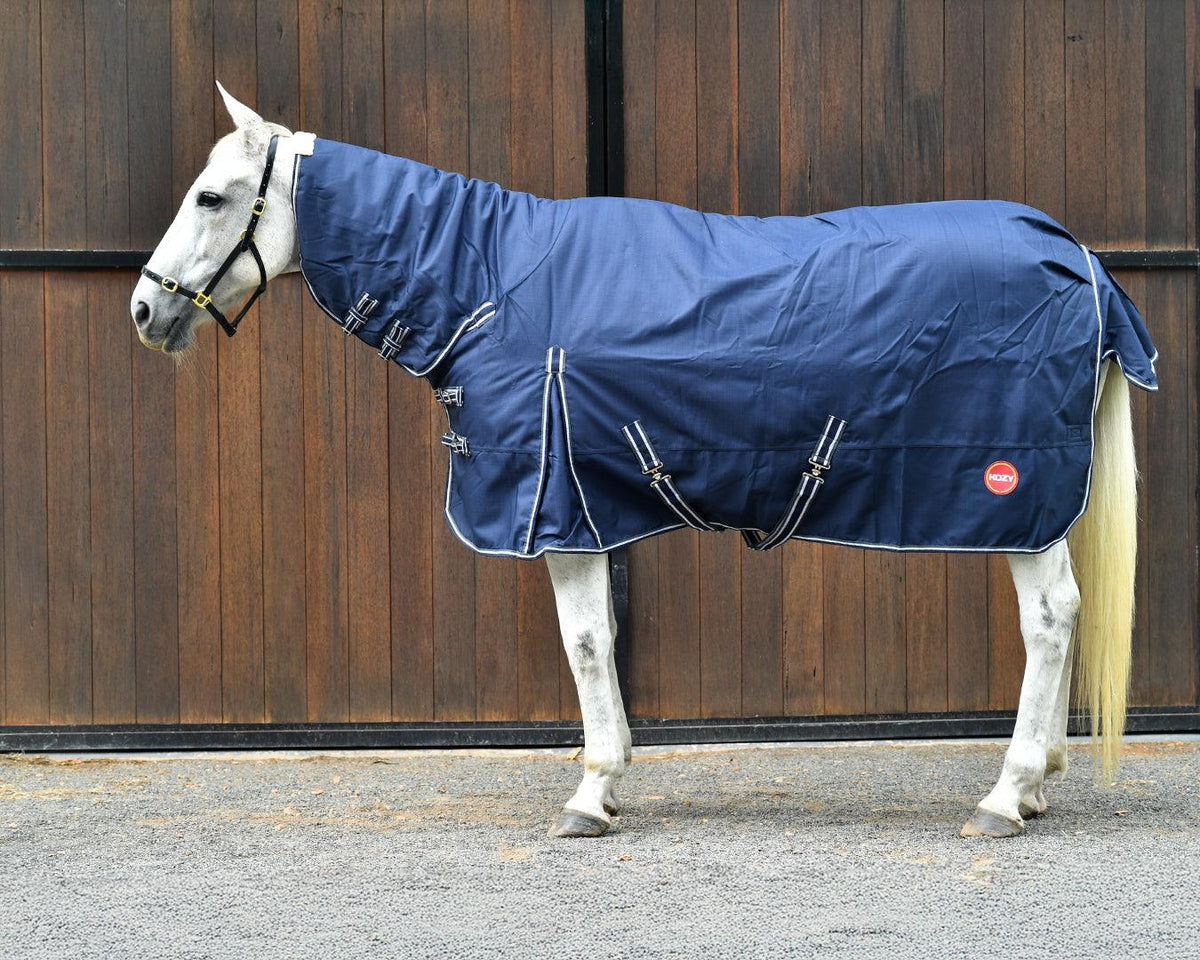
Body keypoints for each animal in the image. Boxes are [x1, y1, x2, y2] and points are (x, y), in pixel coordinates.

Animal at [130, 84, 1157, 839]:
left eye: (211, 197)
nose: (145, 311)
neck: (490, 283)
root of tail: (1076, 258)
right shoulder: (590, 507)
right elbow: (602, 640)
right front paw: (611, 777)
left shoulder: (557, 511)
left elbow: (586, 642)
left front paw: (591, 794)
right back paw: (1037, 784)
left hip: (1016, 499)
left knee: (1051, 622)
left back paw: (1005, 796)